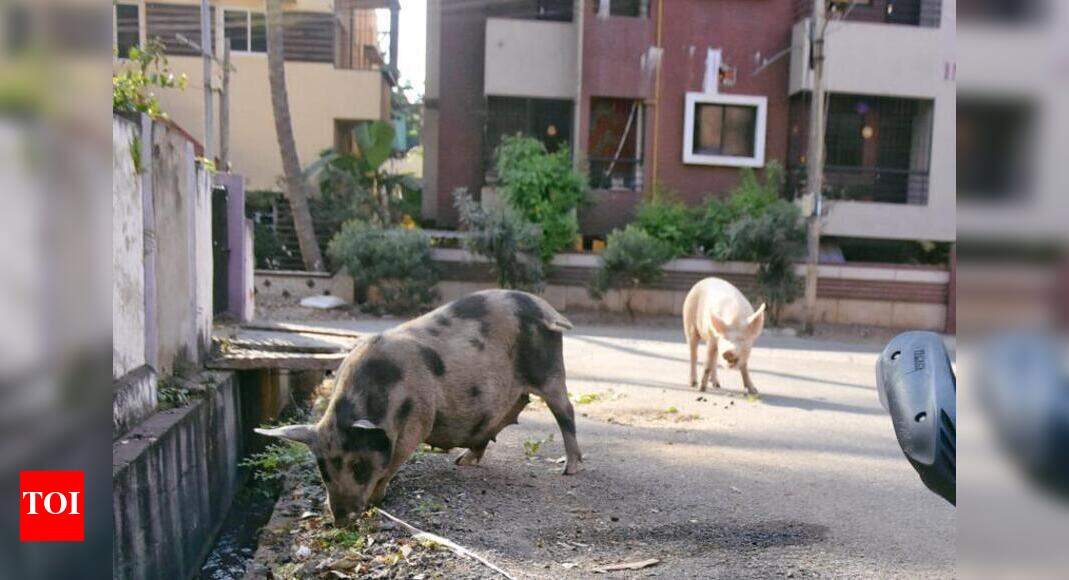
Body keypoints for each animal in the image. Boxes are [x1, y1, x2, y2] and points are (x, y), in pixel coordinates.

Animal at [256, 290, 582, 523]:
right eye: (323, 470)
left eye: (358, 465)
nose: (340, 521)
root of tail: (544, 309)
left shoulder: (417, 423)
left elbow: (390, 464)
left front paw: (376, 501)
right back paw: (462, 462)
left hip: (551, 372)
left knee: (566, 411)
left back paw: (569, 470)